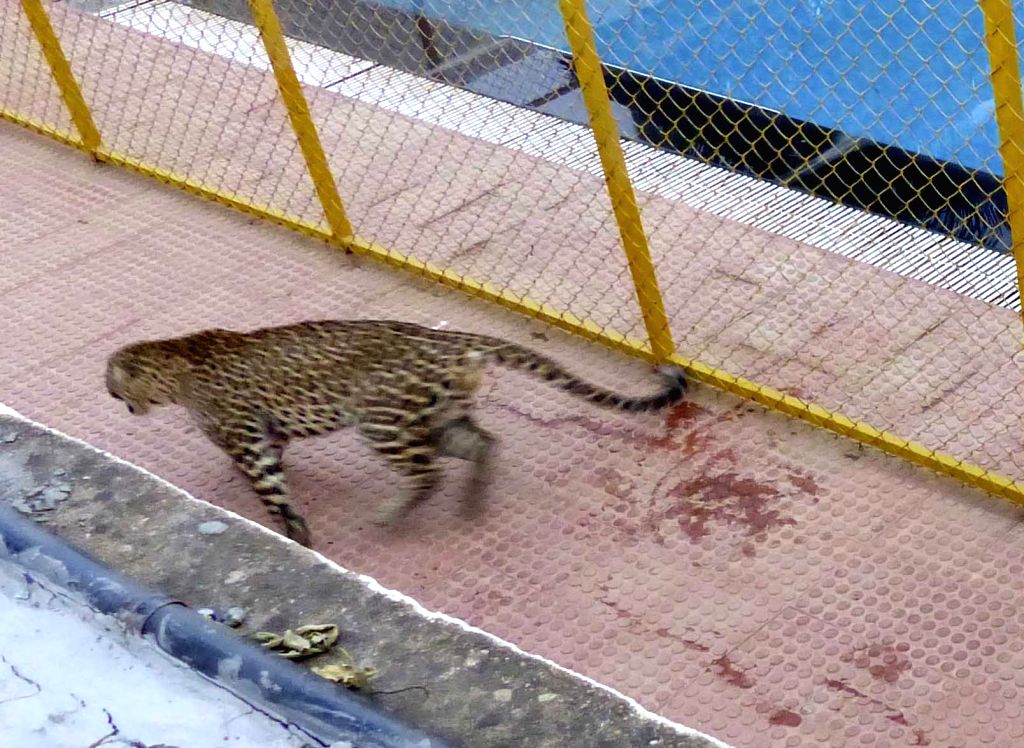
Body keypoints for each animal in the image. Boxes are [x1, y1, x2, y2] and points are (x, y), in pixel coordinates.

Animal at [105, 319, 687, 547]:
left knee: (430, 475)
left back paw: (393, 515)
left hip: (382, 424)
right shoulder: (266, 432)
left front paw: (296, 537)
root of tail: (449, 340)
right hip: (433, 417)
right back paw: (473, 504)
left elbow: (271, 490)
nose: (112, 396)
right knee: (483, 444)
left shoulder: (246, 437)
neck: (173, 365)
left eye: (111, 382)